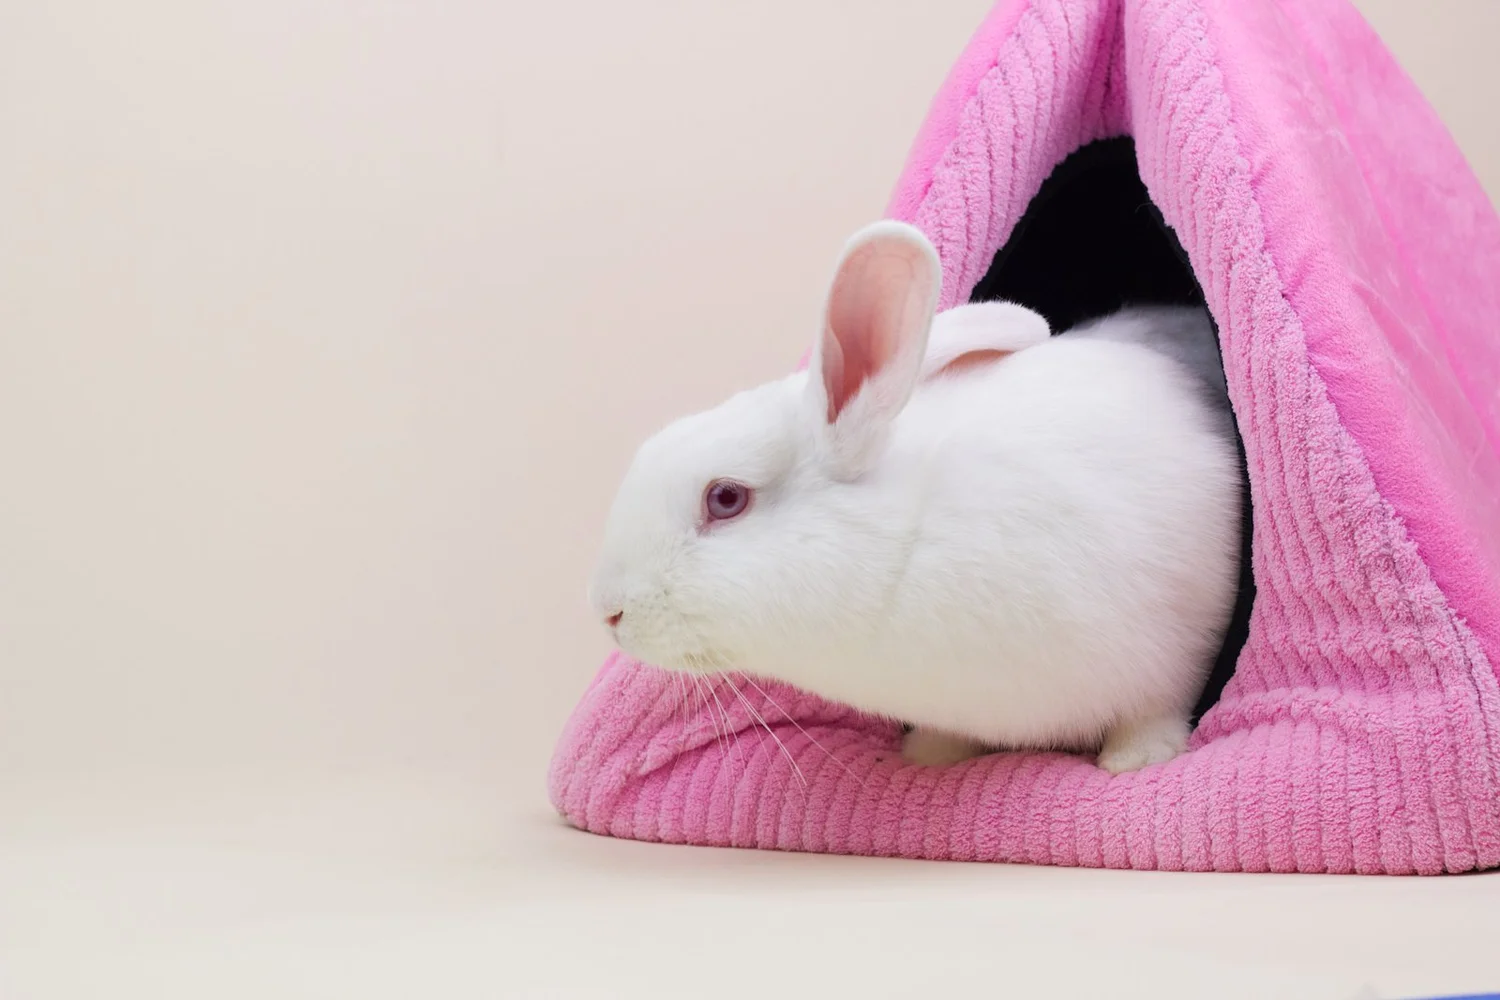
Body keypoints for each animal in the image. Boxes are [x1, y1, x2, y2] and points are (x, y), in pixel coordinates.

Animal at [589, 220, 1242, 774]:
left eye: (725, 499)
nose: (608, 612)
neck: (910, 538)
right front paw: (928, 756)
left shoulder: (1180, 638)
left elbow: (1156, 709)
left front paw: (1136, 760)